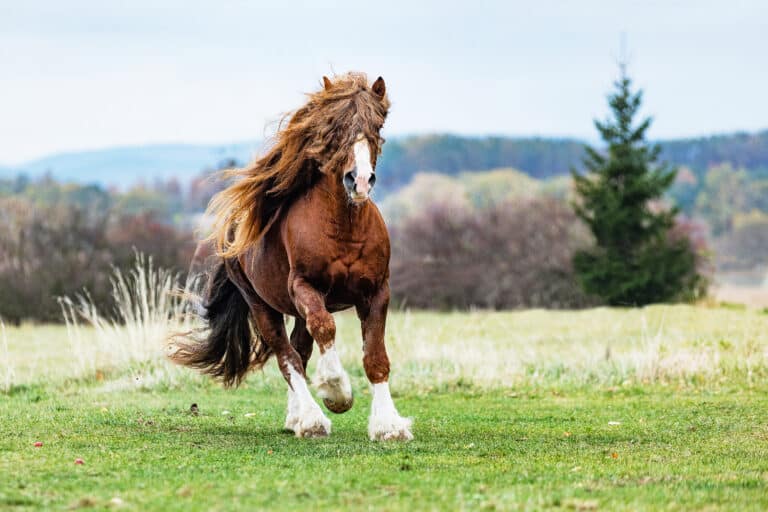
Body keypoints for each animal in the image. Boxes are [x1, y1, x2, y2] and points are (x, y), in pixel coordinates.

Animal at [172, 72, 413, 441]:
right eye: (334, 127)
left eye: (377, 124)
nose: (358, 181)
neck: (344, 228)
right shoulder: (305, 287)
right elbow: (325, 329)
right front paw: (337, 392)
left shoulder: (376, 292)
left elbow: (375, 356)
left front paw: (389, 425)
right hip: (262, 305)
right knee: (287, 357)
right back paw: (312, 420)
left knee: (299, 348)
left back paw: (296, 417)